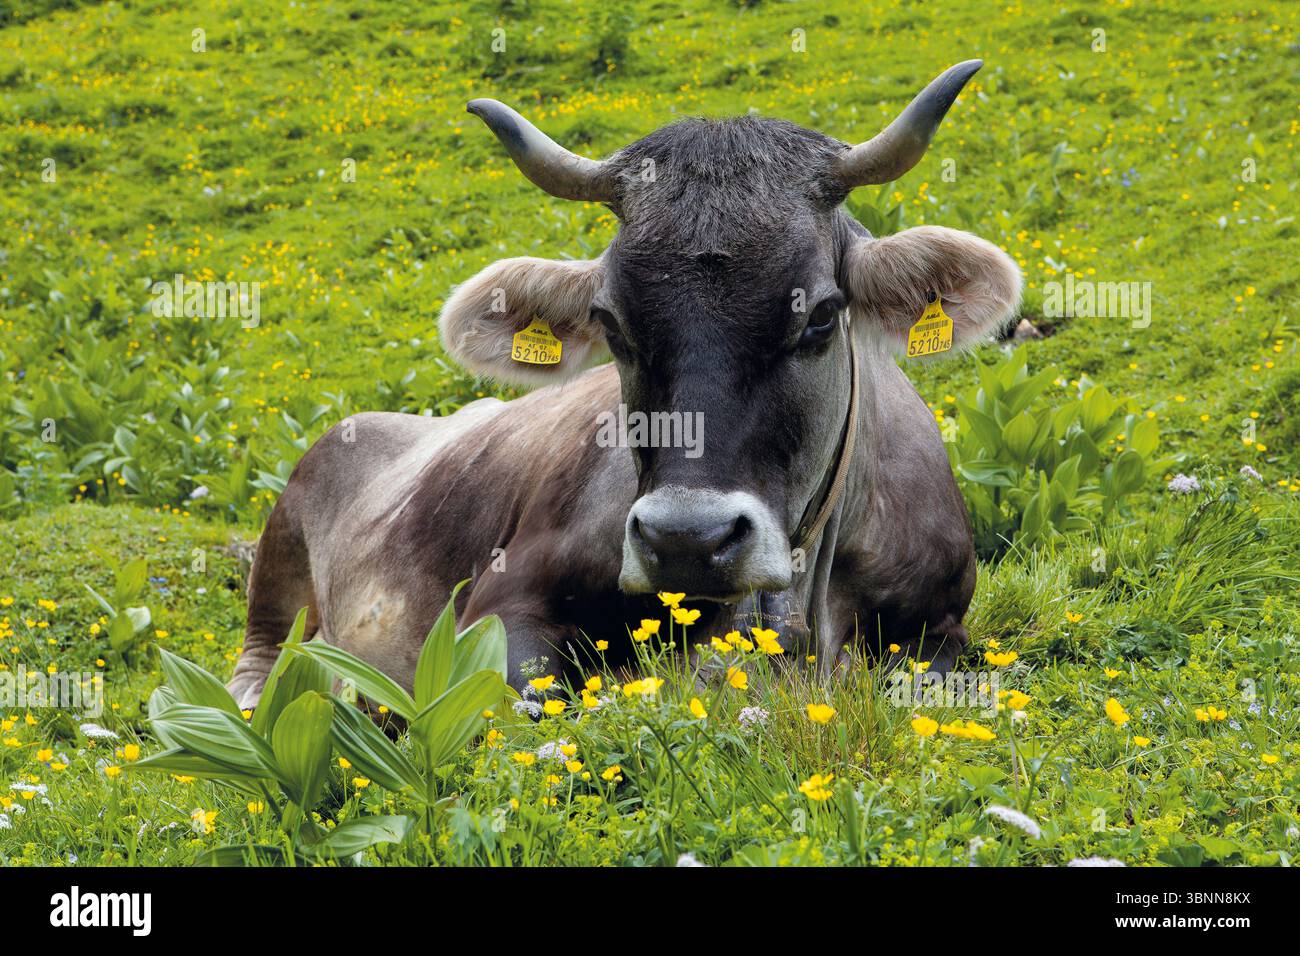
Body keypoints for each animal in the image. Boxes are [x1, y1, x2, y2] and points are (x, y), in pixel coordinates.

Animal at [226, 60, 1021, 709]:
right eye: (611, 323)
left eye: (822, 315)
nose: (686, 539)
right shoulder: (498, 603)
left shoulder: (943, 623)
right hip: (279, 566)